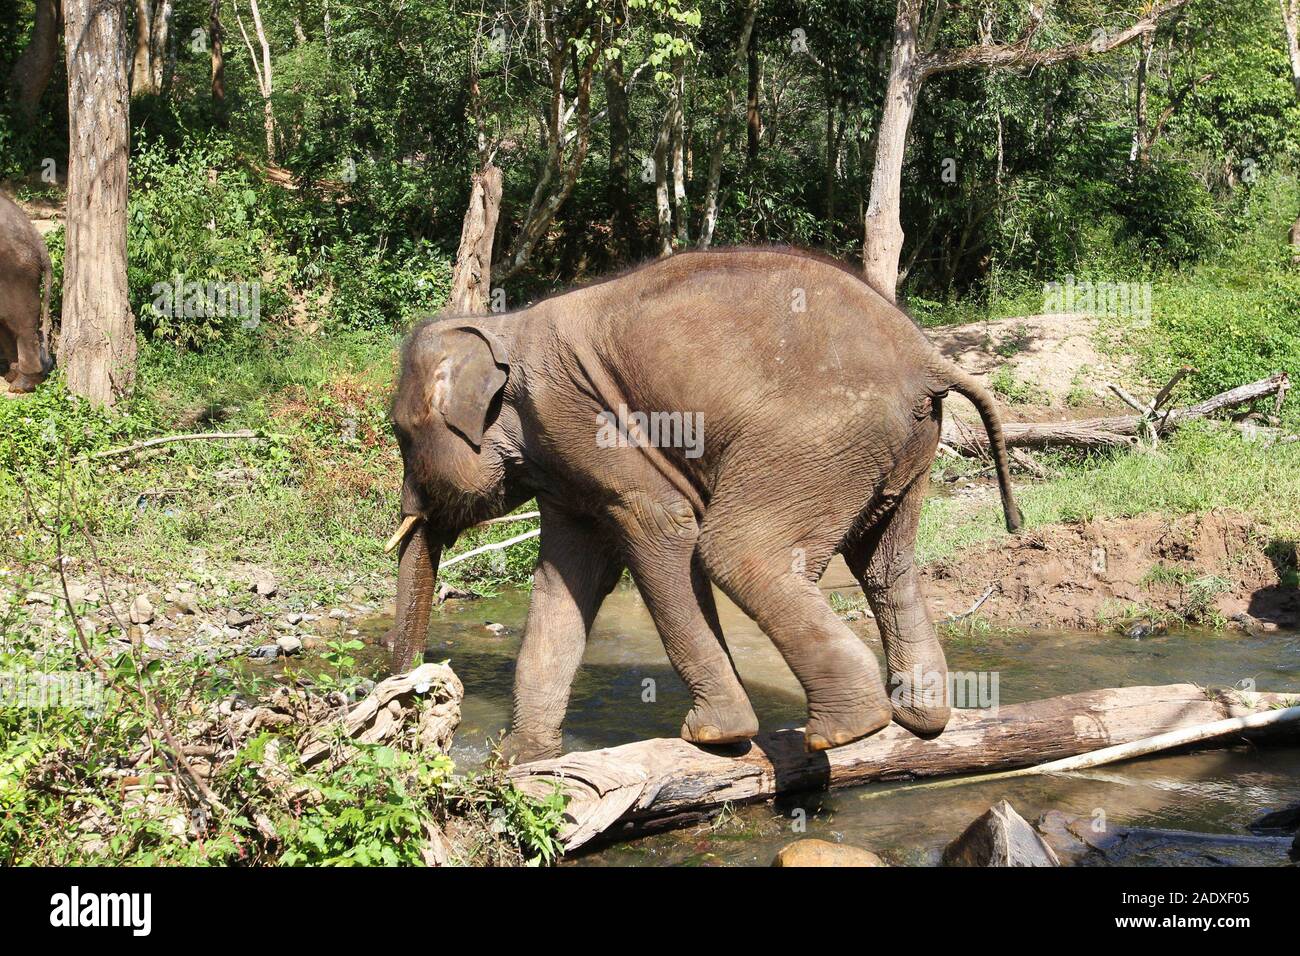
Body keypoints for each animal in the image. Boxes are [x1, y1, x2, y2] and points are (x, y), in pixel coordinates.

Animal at [385, 247, 1021, 763]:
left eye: (399, 435)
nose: (412, 702)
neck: (502, 325)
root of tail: (927, 356)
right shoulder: (564, 468)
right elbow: (565, 579)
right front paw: (518, 762)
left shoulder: (577, 417)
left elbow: (662, 528)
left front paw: (715, 735)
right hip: (900, 452)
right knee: (886, 563)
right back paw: (919, 721)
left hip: (816, 439)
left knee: (737, 551)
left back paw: (848, 729)